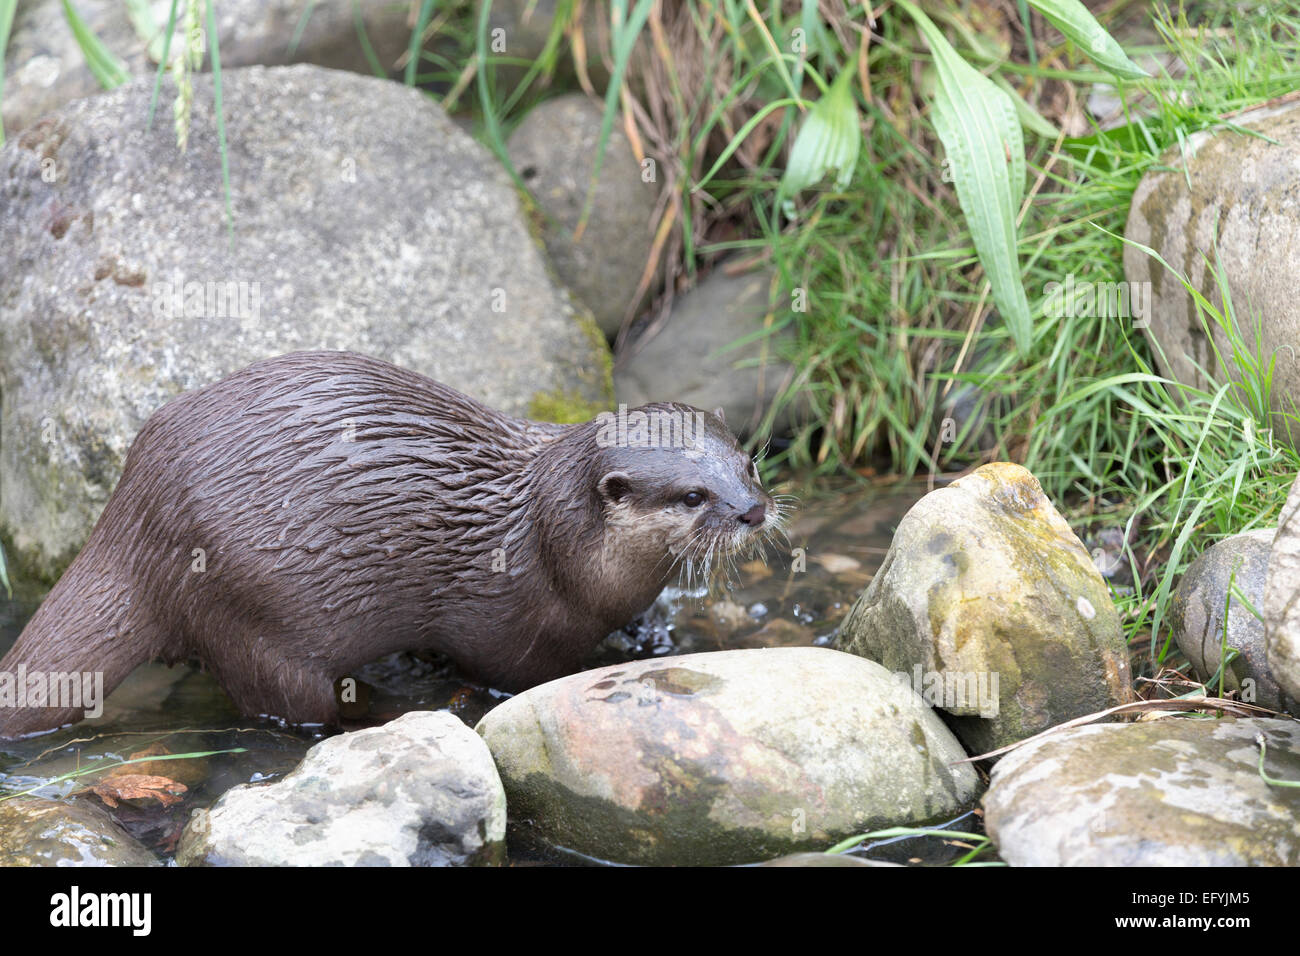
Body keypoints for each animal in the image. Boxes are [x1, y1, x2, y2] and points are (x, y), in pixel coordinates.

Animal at [0, 351, 781, 738]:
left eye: (748, 465)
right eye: (692, 495)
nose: (752, 511)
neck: (550, 547)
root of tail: (133, 521)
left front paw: (650, 636)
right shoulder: (512, 623)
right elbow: (510, 671)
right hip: (250, 612)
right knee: (286, 702)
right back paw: (380, 712)